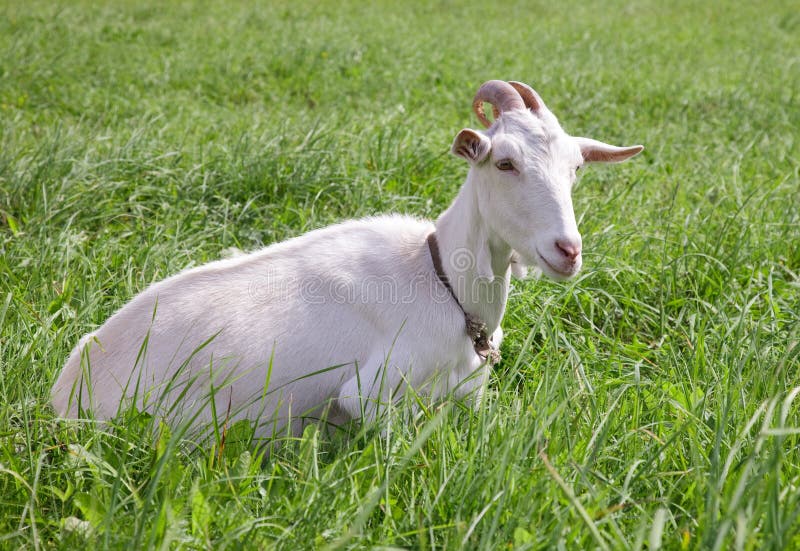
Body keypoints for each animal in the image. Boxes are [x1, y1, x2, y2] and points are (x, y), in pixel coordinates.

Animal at [51, 80, 643, 436]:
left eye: (576, 168)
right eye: (504, 163)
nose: (567, 250)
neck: (442, 280)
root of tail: (62, 391)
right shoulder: (373, 392)